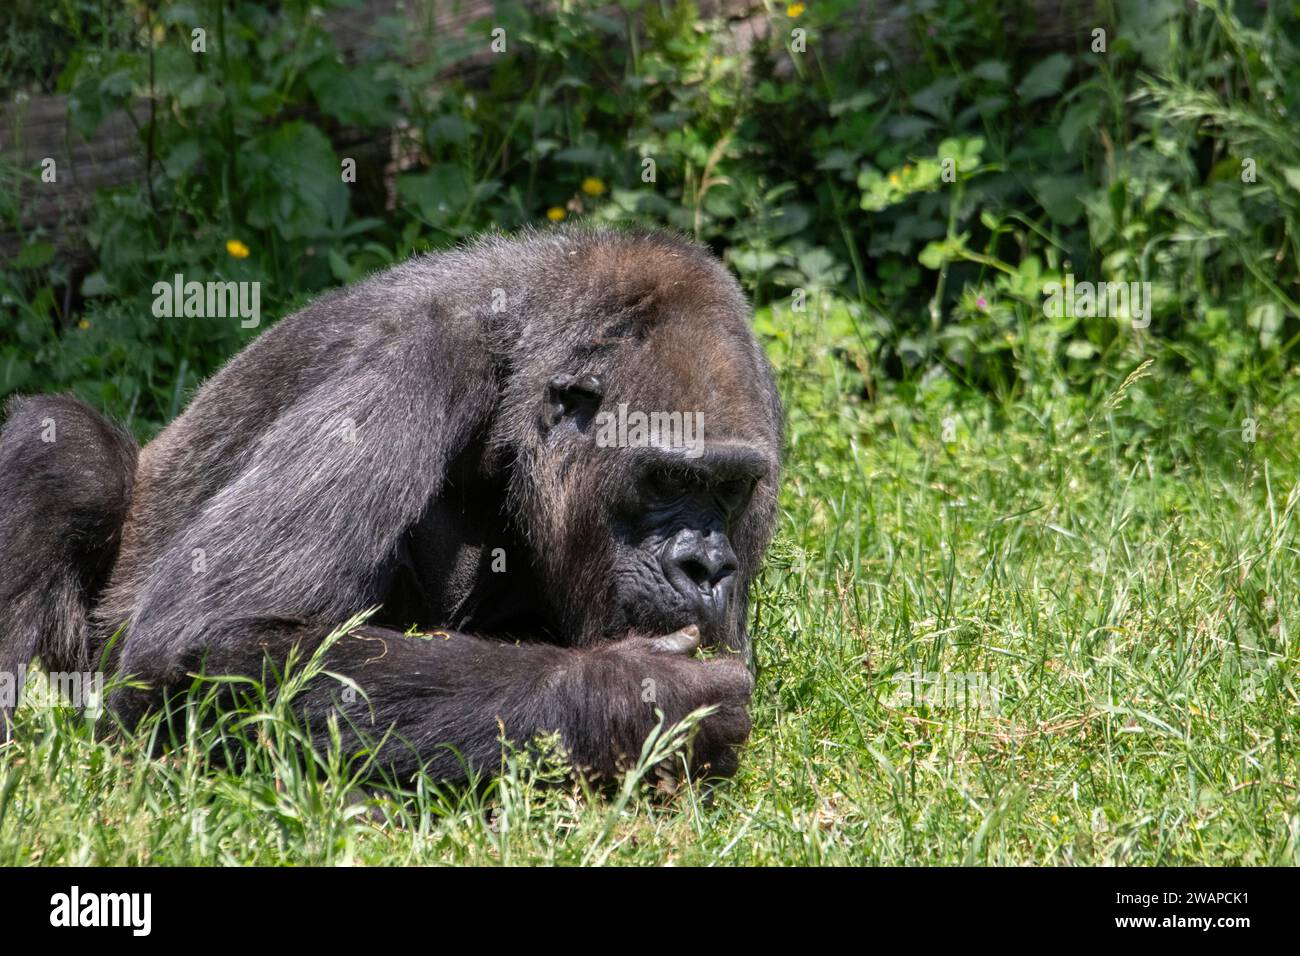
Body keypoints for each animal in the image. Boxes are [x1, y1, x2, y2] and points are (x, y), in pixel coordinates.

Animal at [0, 226, 783, 783]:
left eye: (728, 487)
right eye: (665, 480)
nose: (706, 566)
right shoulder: (417, 355)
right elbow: (206, 640)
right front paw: (642, 698)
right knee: (66, 448)